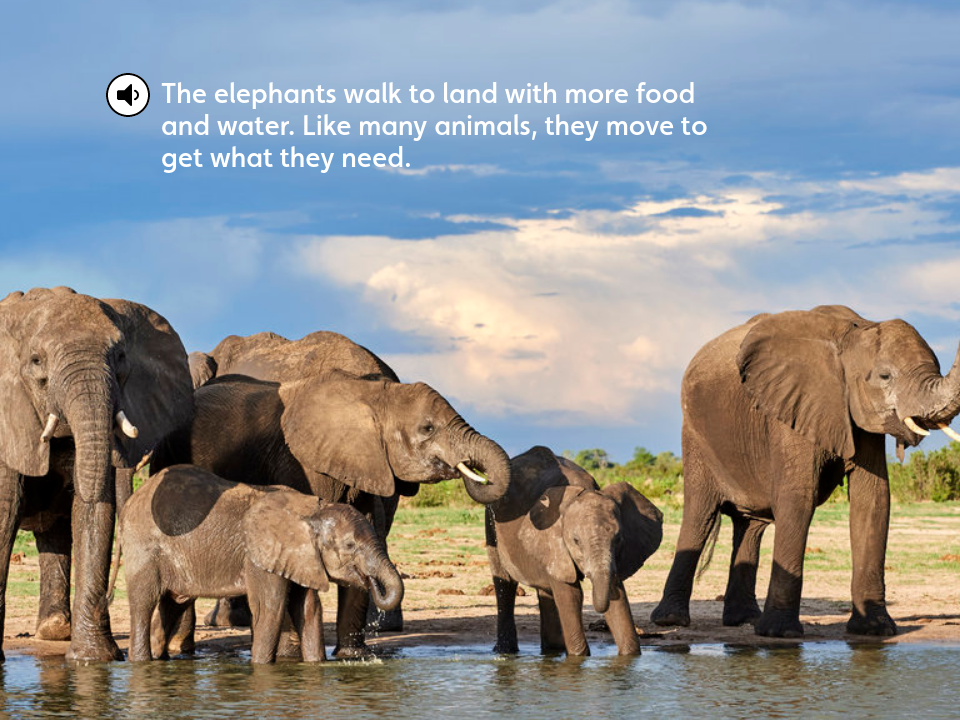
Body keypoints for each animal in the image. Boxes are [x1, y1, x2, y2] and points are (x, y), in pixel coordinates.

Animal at [0, 287, 193, 661]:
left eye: (119, 356)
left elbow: (93, 511)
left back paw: (56, 630)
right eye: (36, 360)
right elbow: (5, 510)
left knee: (56, 531)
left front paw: (93, 659)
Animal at [120, 464, 403, 663]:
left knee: (173, 604)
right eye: (350, 546)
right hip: (143, 548)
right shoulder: (261, 559)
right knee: (144, 602)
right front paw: (262, 668)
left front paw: (316, 665)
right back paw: (140, 661)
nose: (370, 581)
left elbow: (310, 610)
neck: (311, 513)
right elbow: (270, 610)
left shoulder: (301, 557)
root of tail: (134, 499)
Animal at [149, 370, 512, 657]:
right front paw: (291, 657)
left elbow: (364, 527)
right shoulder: (299, 464)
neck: (371, 395)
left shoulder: (362, 464)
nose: (478, 474)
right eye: (428, 428)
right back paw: (180, 652)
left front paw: (350, 656)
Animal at [487, 446, 663, 656]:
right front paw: (578, 657)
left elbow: (617, 596)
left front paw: (630, 656)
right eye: (576, 541)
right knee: (505, 582)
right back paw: (505, 651)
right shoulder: (554, 542)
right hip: (491, 521)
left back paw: (552, 651)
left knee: (546, 591)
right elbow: (571, 595)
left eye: (619, 539)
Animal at [651, 305, 960, 638]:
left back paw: (745, 620)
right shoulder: (791, 407)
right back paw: (670, 620)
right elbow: (798, 497)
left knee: (751, 526)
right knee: (700, 516)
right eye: (885, 376)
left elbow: (873, 499)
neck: (854, 333)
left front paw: (875, 630)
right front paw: (780, 634)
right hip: (696, 436)